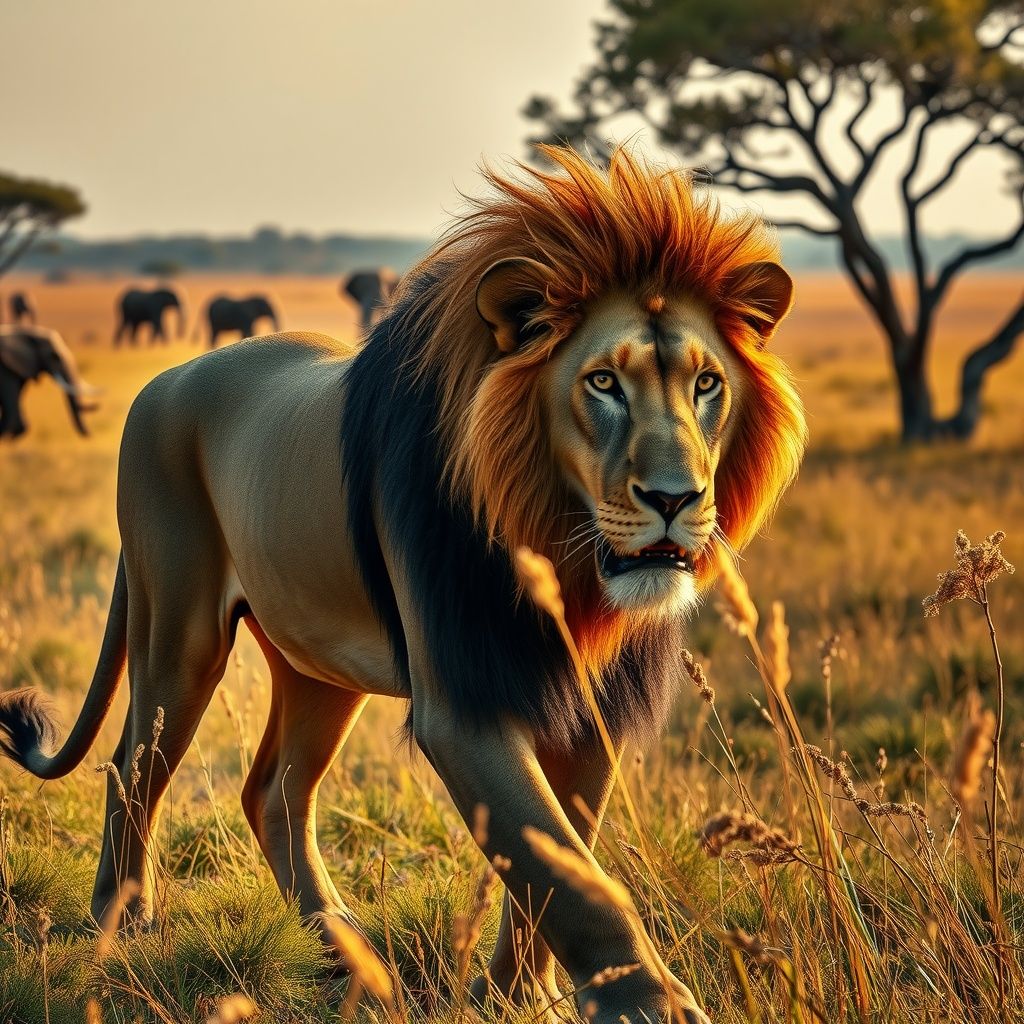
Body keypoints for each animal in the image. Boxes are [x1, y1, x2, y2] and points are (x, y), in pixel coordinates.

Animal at [0, 147, 805, 1024]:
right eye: (602, 384)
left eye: (706, 384)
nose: (674, 498)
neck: (563, 554)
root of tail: (166, 379)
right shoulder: (464, 706)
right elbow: (566, 871)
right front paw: (653, 1007)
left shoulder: (594, 699)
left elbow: (559, 858)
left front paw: (517, 995)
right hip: (177, 625)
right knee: (133, 766)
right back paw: (125, 922)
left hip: (317, 659)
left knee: (273, 792)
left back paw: (351, 956)